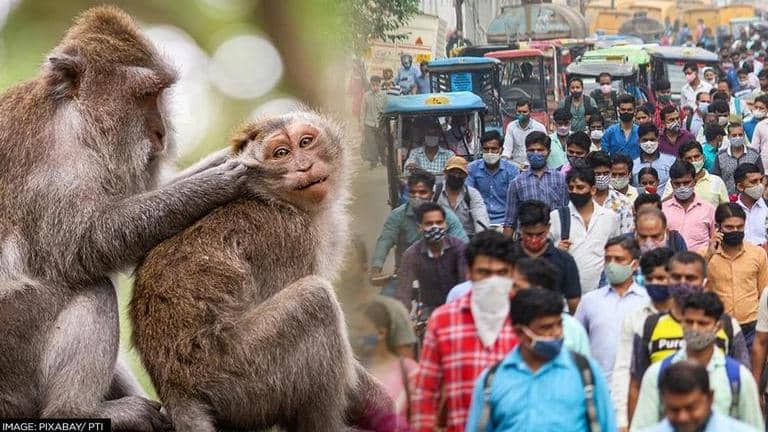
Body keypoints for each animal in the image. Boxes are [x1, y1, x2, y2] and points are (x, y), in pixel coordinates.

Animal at [0, 6, 278, 430]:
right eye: (145, 95)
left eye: (160, 94)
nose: (161, 133)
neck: (74, 114)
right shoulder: (57, 162)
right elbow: (87, 243)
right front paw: (219, 182)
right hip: (15, 351)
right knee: (93, 288)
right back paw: (77, 411)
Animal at [130, 111, 398, 432]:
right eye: (281, 154)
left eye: (305, 142)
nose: (304, 166)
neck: (278, 200)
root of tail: (175, 387)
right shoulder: (291, 240)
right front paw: (378, 401)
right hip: (240, 375)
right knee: (315, 300)